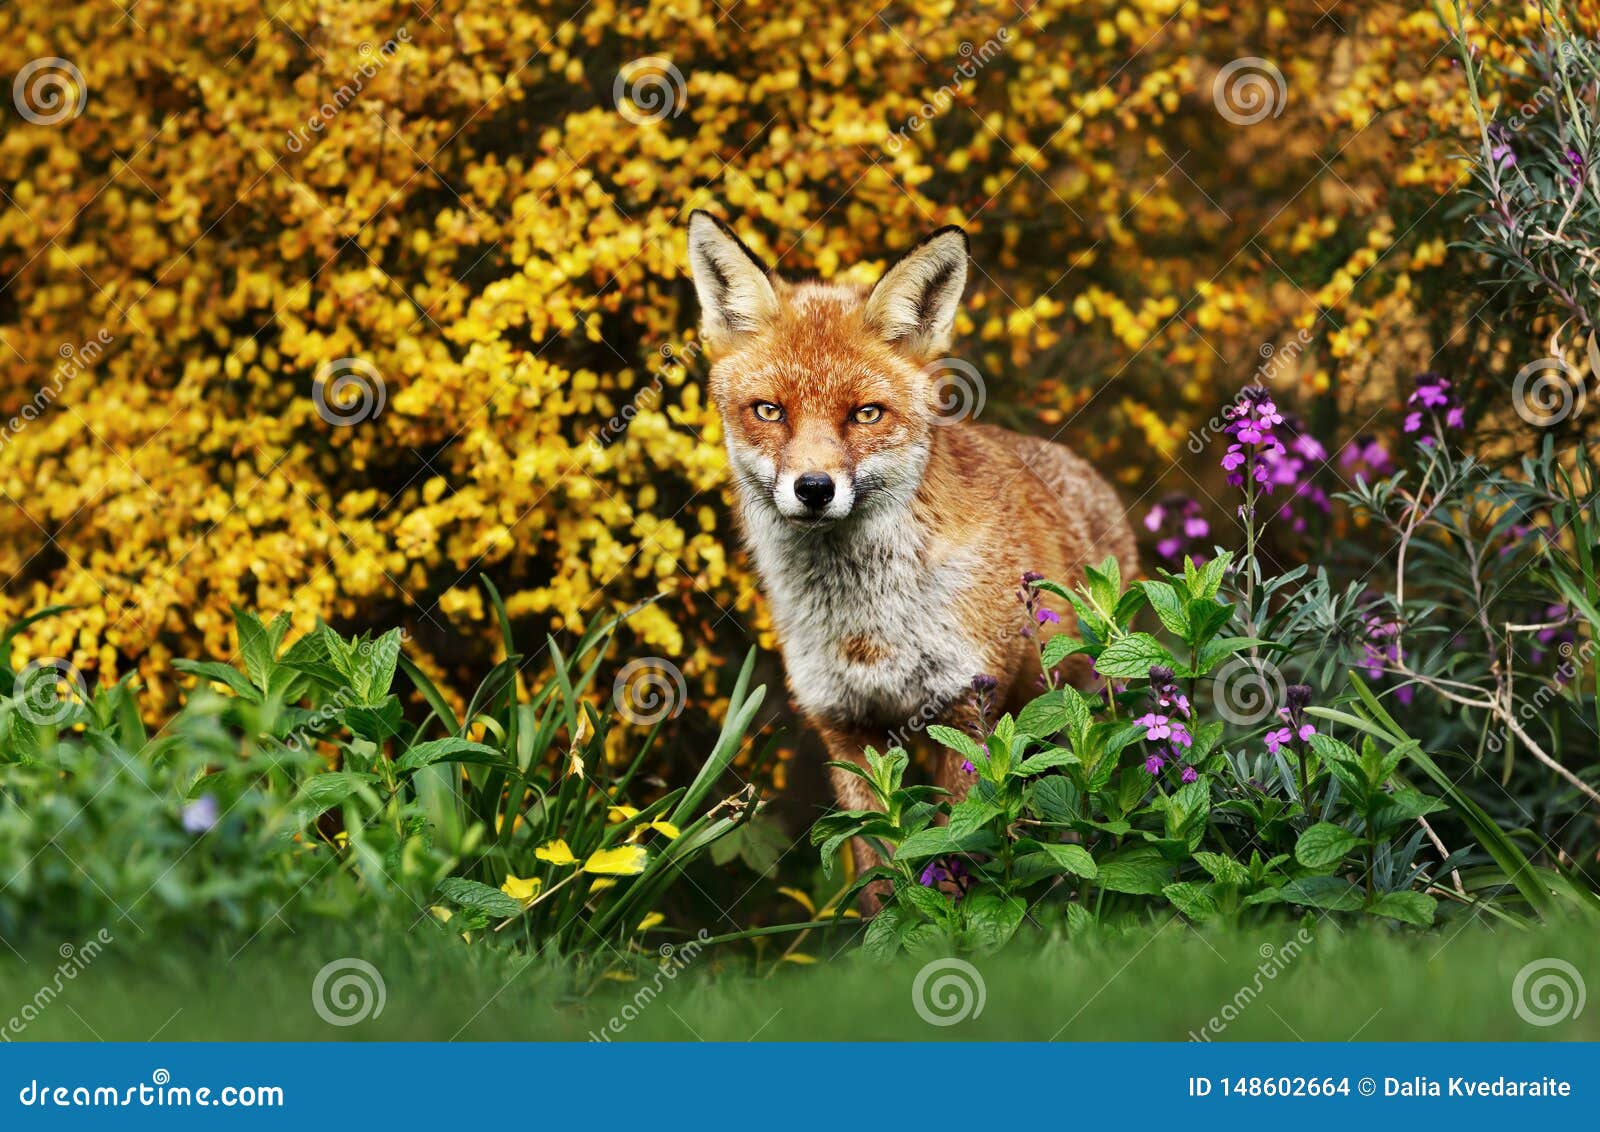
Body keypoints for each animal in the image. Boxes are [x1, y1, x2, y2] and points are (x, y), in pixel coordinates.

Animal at [686, 209, 1139, 888]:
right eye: (769, 411)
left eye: (866, 414)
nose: (813, 488)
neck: (868, 626)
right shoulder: (846, 728)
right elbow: (881, 874)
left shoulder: (968, 710)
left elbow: (951, 860)